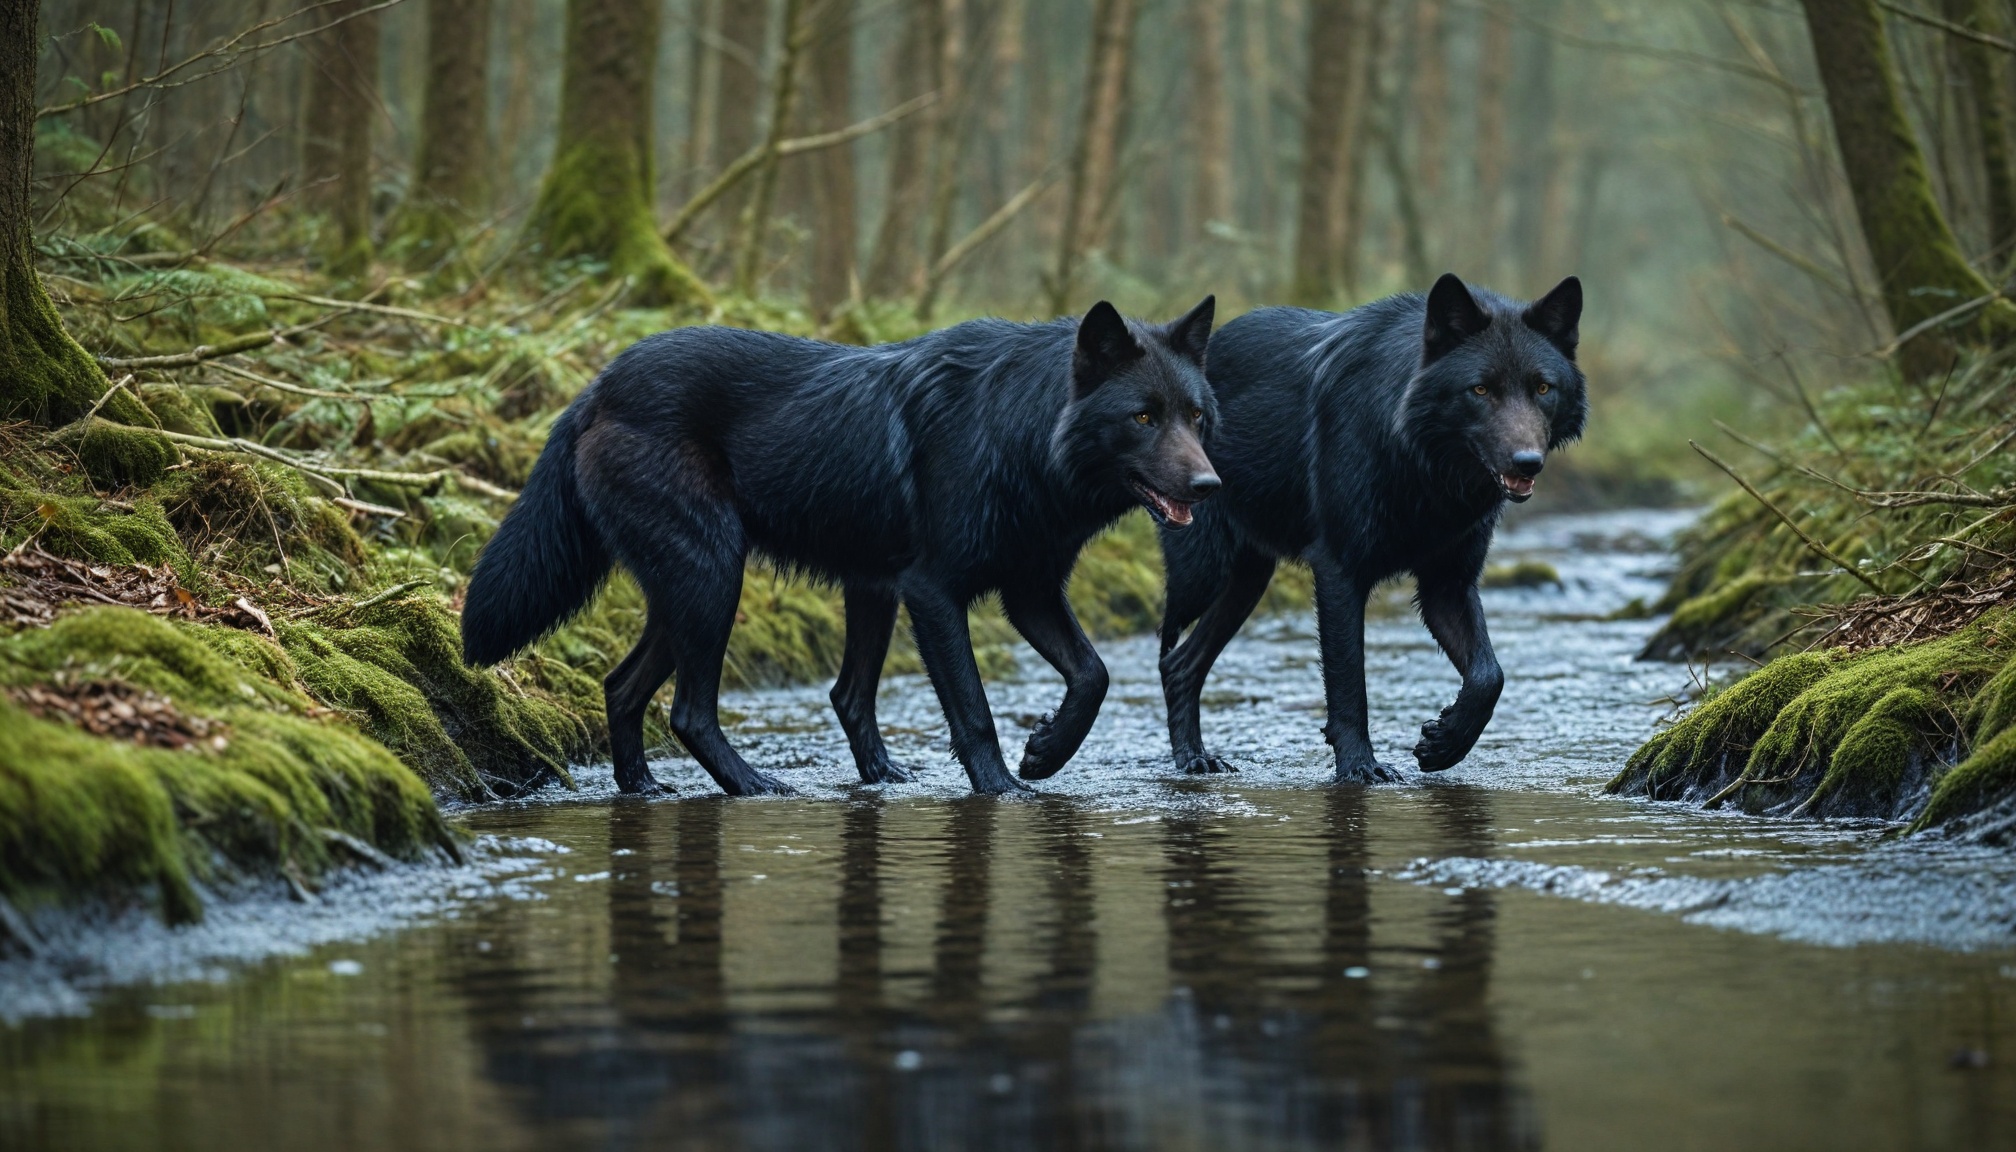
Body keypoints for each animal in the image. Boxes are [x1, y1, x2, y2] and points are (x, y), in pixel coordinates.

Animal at [461, 302, 1209, 798]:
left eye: (1196, 416)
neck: (1019, 433)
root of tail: (596, 388)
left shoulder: (1029, 591)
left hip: (747, 592)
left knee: (630, 688)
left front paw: (1046, 752)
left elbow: (1094, 675)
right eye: (1143, 417)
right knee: (690, 711)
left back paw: (647, 788)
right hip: (714, 581)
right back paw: (754, 786)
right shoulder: (935, 595)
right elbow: (974, 709)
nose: (1211, 484)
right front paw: (1004, 787)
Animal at [1161, 274, 1580, 790]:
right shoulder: (1339, 574)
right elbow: (1349, 685)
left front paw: (1445, 743)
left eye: (1542, 387)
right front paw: (1360, 766)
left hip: (1247, 583)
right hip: (1206, 573)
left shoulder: (1448, 586)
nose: (1527, 462)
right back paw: (1191, 758)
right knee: (1171, 654)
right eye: (1480, 389)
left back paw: (1197, 758)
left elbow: (1490, 675)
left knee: (1180, 666)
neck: (1423, 467)